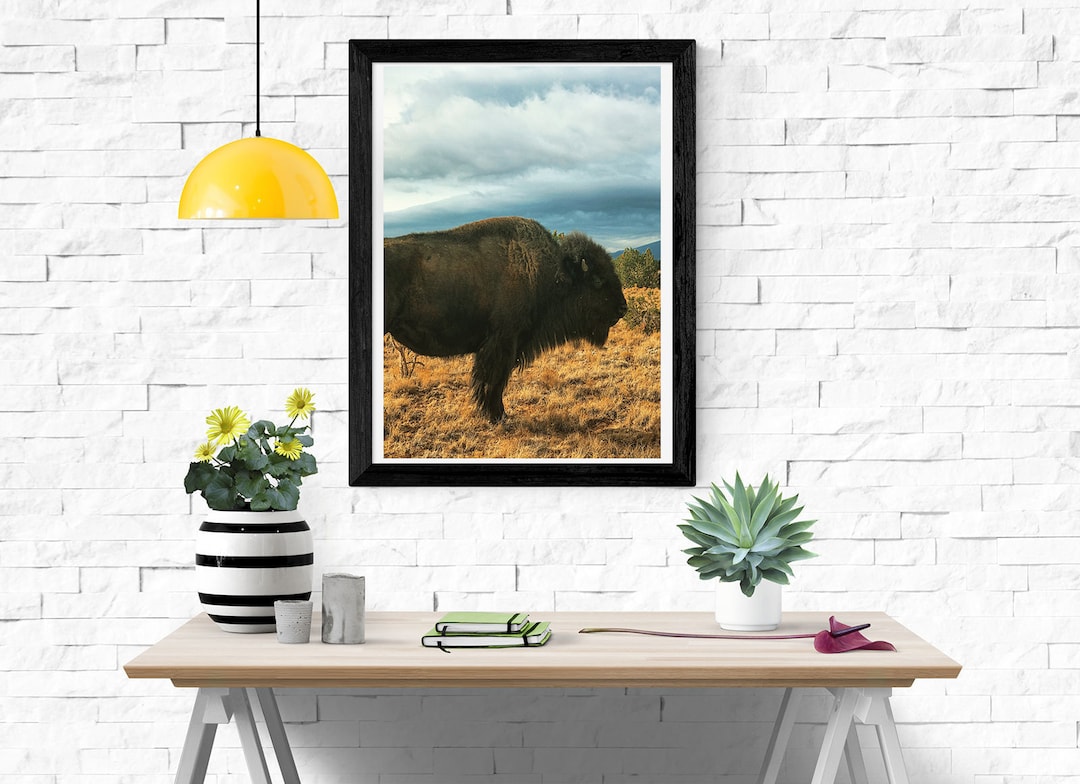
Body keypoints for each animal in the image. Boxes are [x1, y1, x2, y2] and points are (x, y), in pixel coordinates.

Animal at [383, 216, 628, 422]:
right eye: (598, 280)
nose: (623, 308)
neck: (552, 273)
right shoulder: (503, 343)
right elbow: (494, 382)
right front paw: (497, 416)